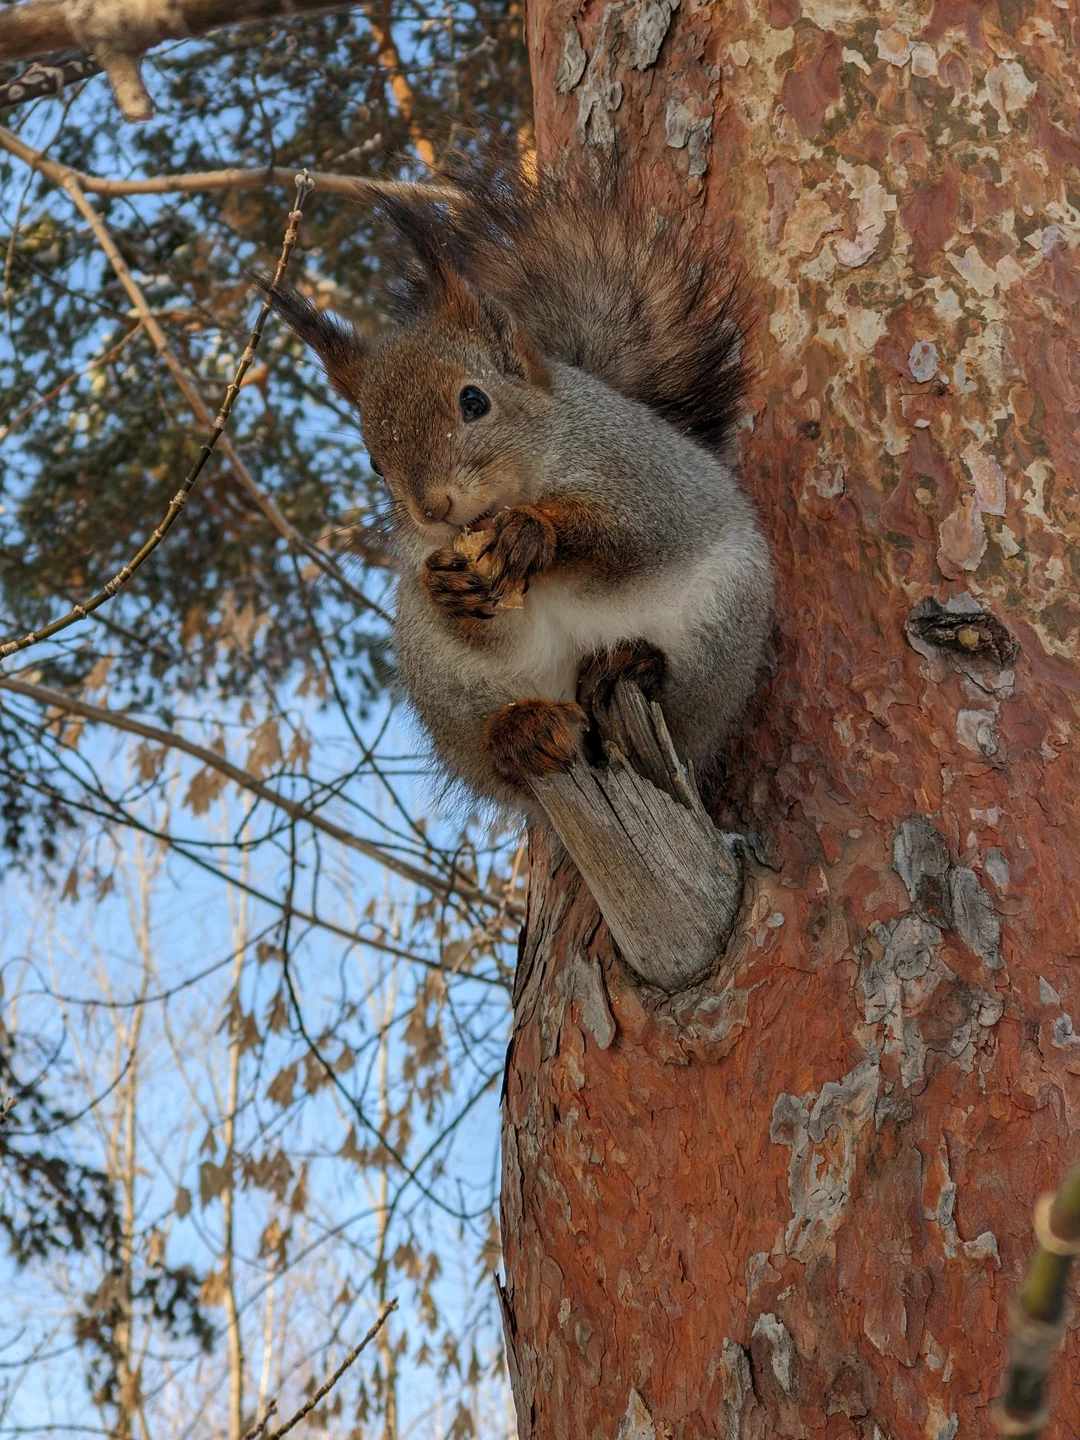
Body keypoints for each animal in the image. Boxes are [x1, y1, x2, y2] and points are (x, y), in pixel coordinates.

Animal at [261, 153, 774, 812]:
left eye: (474, 401)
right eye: (374, 463)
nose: (434, 510)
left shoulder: (646, 479)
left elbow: (626, 534)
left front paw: (533, 532)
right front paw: (445, 584)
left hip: (721, 625)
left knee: (682, 711)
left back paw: (635, 665)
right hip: (445, 684)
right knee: (494, 753)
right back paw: (519, 732)